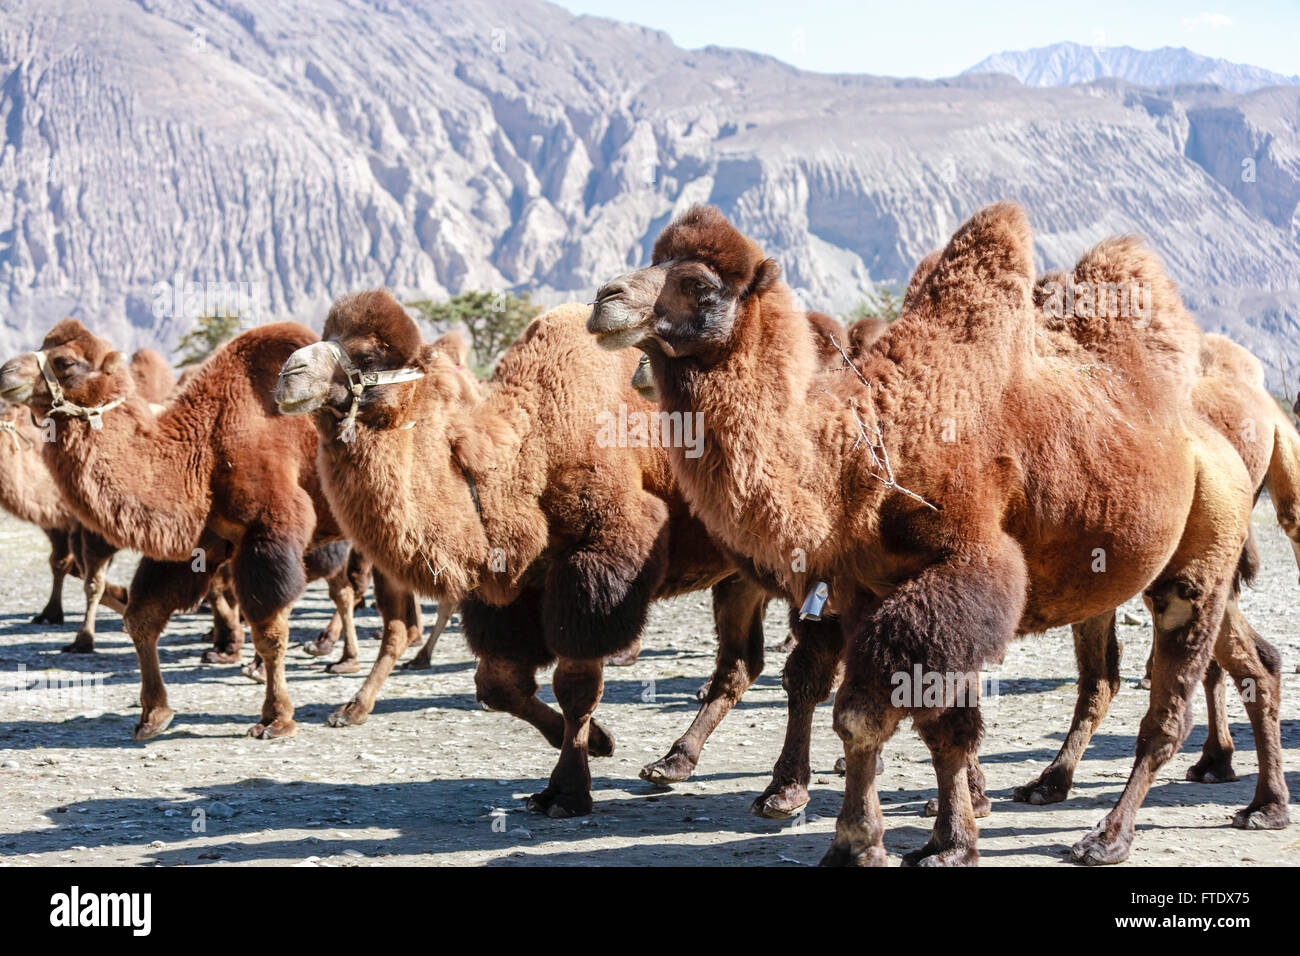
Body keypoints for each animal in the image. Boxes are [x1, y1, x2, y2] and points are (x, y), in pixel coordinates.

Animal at [0, 319, 382, 739]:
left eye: (66, 361)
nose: (6, 373)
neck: (203, 449)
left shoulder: (270, 530)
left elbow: (269, 630)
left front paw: (275, 718)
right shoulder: (198, 540)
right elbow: (142, 617)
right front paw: (153, 714)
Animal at [275, 291, 777, 816]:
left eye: (370, 355)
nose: (291, 372)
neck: (526, 452)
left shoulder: (596, 562)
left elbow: (575, 686)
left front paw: (568, 791)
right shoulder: (511, 585)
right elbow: (497, 684)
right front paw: (600, 742)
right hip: (740, 574)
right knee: (741, 664)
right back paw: (674, 762)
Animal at [589, 203, 1285, 865]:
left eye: (701, 285)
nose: (605, 298)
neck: (863, 451)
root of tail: (1217, 438)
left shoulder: (967, 572)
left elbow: (869, 712)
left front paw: (875, 840)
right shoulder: (867, 591)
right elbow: (930, 722)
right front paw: (929, 838)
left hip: (1195, 567)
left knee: (1168, 709)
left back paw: (1109, 837)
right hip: (1175, 565)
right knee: (1244, 661)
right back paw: (1256, 803)